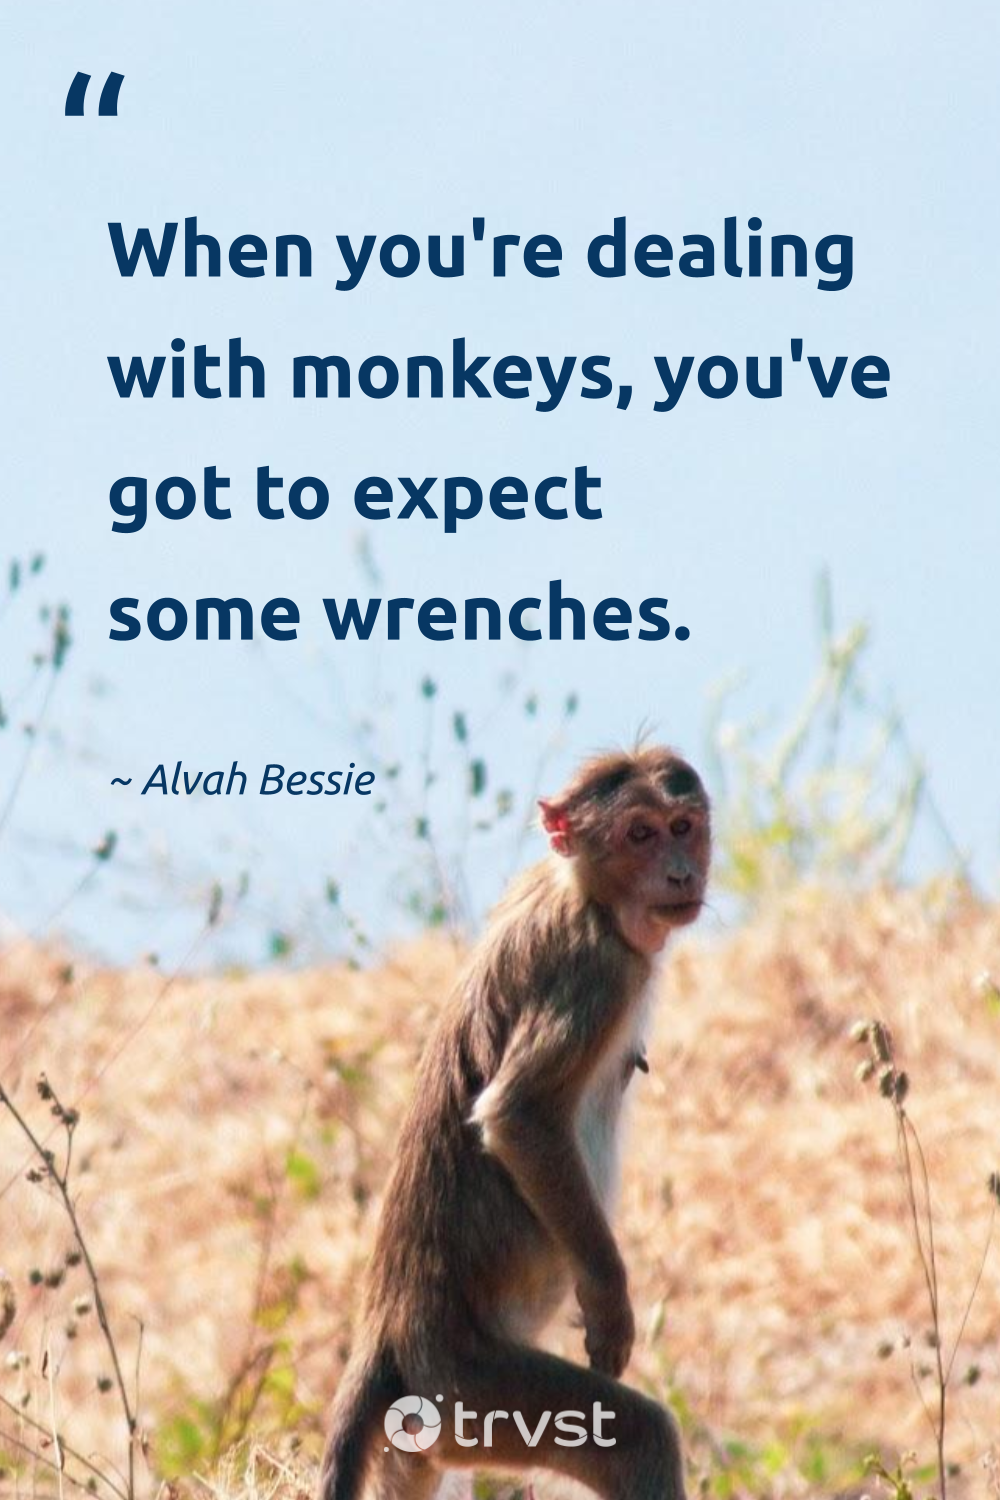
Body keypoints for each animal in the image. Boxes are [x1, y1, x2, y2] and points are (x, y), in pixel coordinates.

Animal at [319, 745, 711, 1500]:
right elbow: (519, 1116)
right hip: (471, 1387)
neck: (585, 894)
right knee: (637, 1441)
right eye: (639, 835)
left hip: (428, 1424)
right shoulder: (595, 972)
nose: (682, 872)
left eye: (682, 827)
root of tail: (385, 1331)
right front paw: (610, 1302)